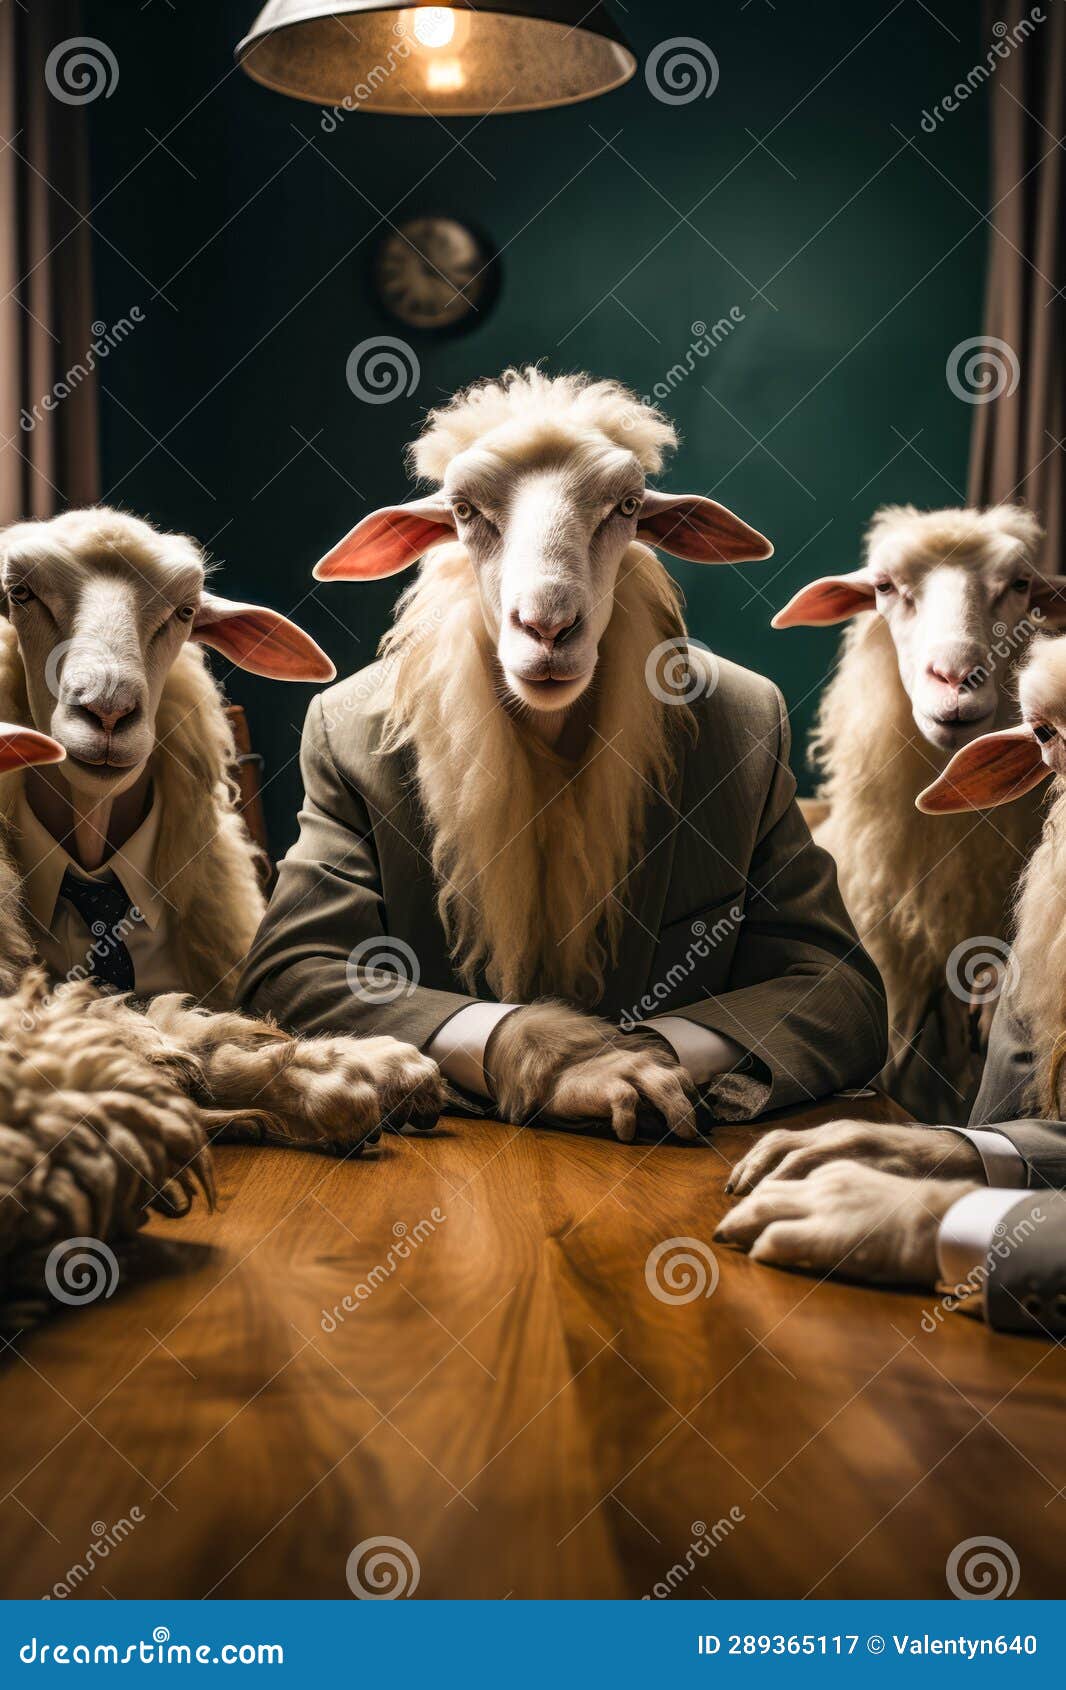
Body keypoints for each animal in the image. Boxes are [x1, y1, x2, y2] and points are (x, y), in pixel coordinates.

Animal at [241, 367, 888, 1139]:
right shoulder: (300, 929)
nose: (547, 627)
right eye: (464, 510)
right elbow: (303, 958)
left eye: (628, 506)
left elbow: (827, 972)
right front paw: (573, 1061)